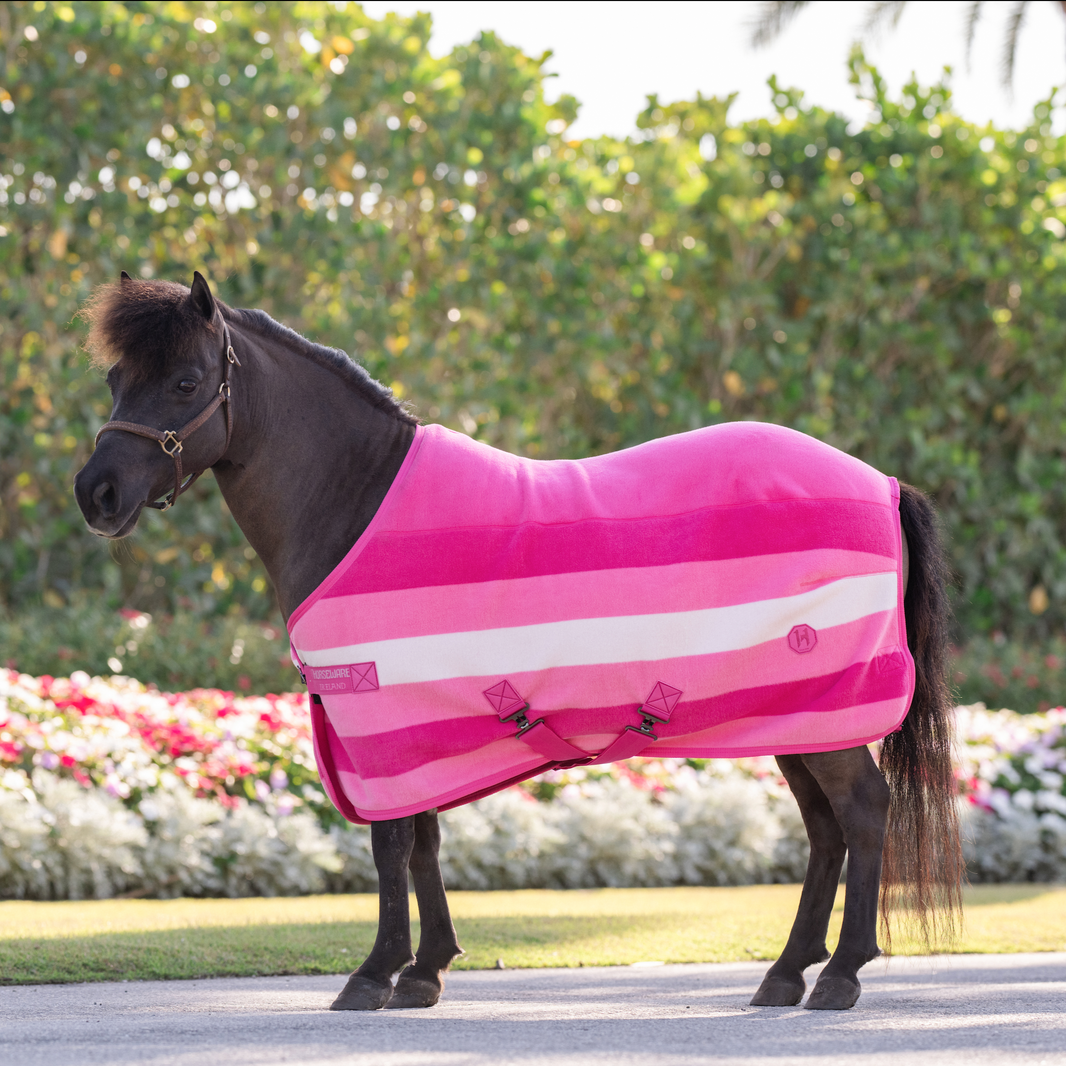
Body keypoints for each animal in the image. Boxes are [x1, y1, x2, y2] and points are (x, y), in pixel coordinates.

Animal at [73, 272, 962, 1012]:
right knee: (825, 830)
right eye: (115, 380)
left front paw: (373, 975)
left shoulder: (383, 714)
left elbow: (392, 845)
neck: (356, 500)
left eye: (186, 382)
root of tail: (882, 483)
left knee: (863, 811)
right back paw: (785, 974)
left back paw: (840, 975)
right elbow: (423, 843)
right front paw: (424, 972)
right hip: (793, 717)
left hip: (825, 712)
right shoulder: (420, 727)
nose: (97, 494)